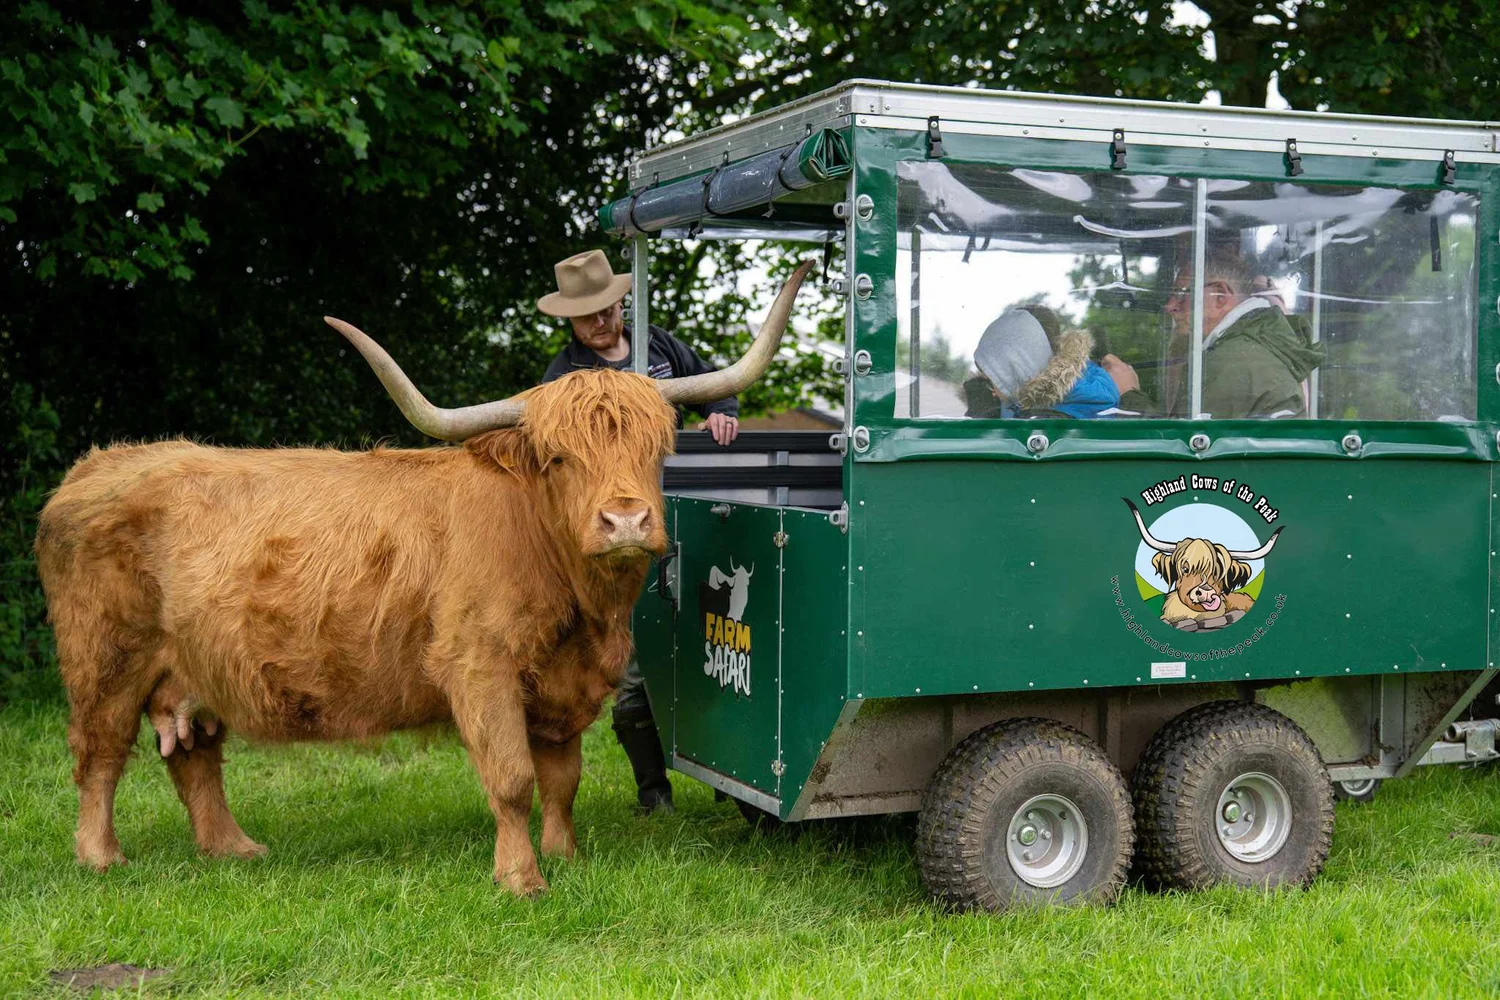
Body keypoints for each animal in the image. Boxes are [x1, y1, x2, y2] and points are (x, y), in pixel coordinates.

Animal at [36, 261, 812, 895]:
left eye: (656, 446)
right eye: (558, 457)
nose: (624, 520)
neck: (580, 606)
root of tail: (102, 462)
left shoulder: (565, 685)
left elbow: (561, 779)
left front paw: (565, 856)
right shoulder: (479, 665)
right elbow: (512, 778)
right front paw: (522, 879)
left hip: (194, 666)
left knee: (195, 758)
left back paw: (234, 849)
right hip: (105, 659)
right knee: (99, 754)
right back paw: (101, 858)